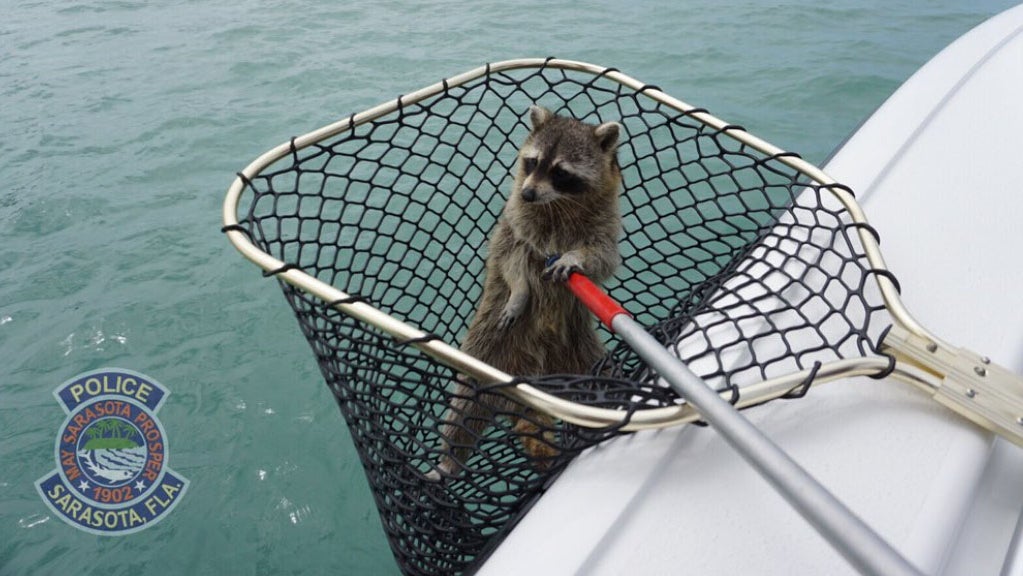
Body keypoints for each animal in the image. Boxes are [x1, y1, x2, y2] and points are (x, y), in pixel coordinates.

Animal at [431, 105, 623, 479]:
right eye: (532, 162)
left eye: (561, 172)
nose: (529, 194)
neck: (559, 204)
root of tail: (536, 380)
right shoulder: (514, 221)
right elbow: (510, 257)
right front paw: (520, 291)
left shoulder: (604, 222)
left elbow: (602, 259)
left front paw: (576, 257)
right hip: (486, 350)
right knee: (465, 406)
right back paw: (448, 461)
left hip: (581, 355)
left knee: (604, 382)